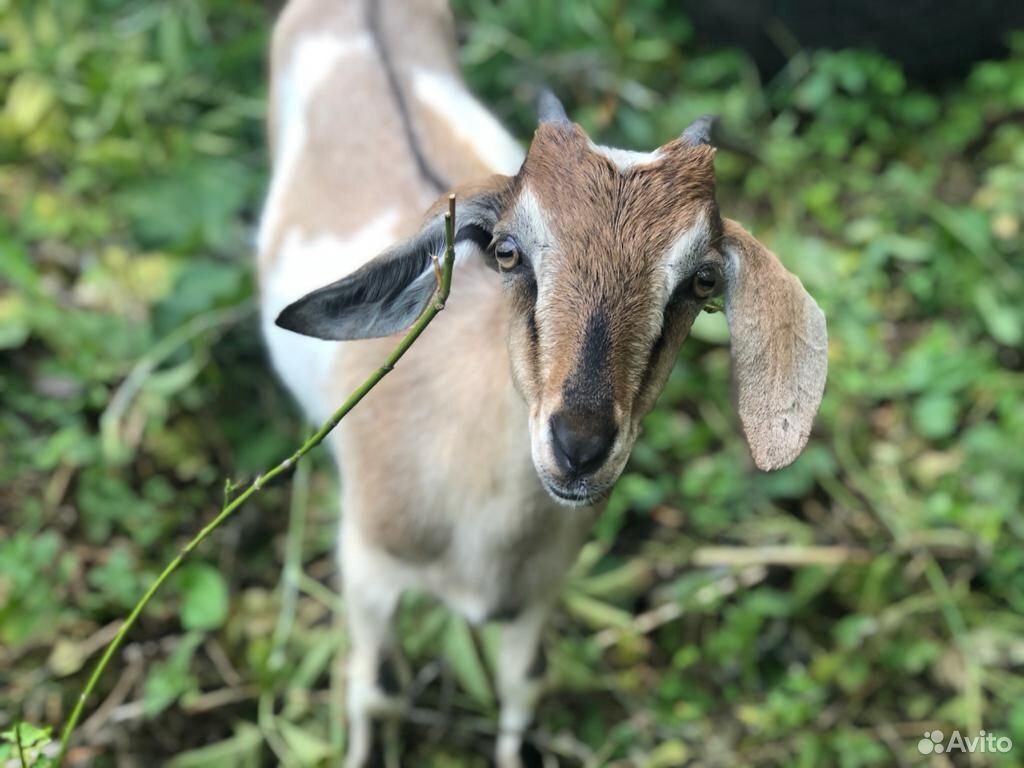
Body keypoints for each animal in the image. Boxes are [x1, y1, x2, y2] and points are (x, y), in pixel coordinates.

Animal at [258, 1, 828, 764]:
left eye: (701, 281)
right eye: (508, 251)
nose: (579, 446)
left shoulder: (540, 591)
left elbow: (525, 685)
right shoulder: (369, 567)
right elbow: (377, 690)